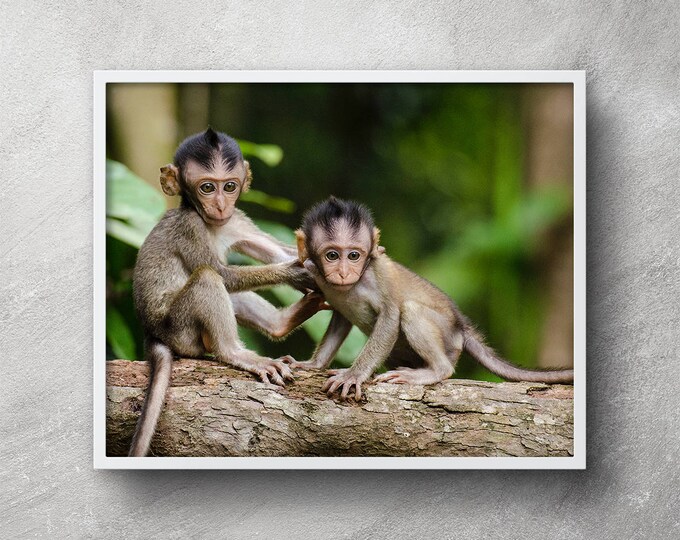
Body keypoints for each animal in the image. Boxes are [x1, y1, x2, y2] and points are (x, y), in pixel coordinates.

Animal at [128, 128, 324, 456]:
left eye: (229, 186)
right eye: (207, 187)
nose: (220, 205)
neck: (211, 224)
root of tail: (152, 333)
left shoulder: (237, 220)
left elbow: (276, 252)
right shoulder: (190, 226)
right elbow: (222, 274)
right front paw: (296, 272)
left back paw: (283, 322)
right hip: (180, 330)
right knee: (208, 279)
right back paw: (235, 352)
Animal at [290, 196, 574, 400]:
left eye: (353, 256)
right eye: (332, 256)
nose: (343, 272)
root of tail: (461, 327)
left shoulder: (378, 273)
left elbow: (390, 316)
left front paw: (354, 374)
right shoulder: (316, 274)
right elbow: (340, 319)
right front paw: (313, 364)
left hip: (448, 339)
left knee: (411, 311)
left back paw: (435, 370)